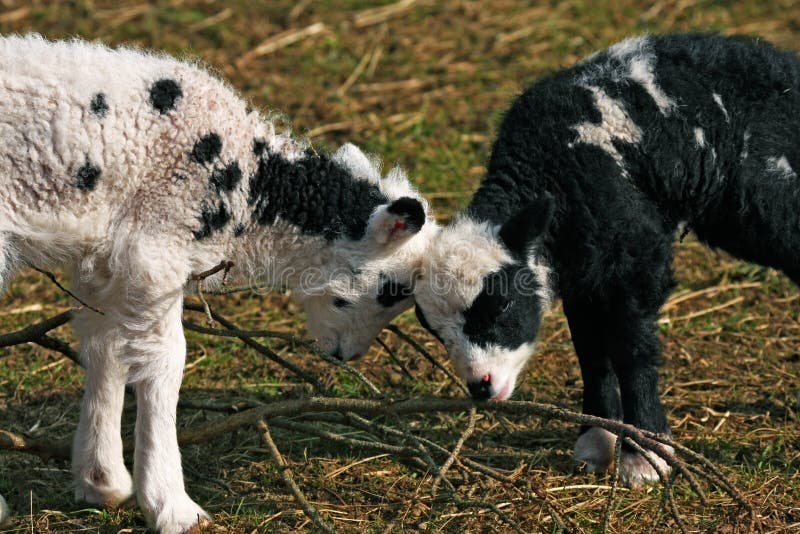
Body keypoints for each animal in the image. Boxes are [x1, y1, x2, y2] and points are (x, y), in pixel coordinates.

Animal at [0, 34, 435, 533]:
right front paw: (172, 505)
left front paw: (102, 481)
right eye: (391, 291)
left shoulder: (106, 259)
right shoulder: (157, 246)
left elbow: (104, 350)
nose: (347, 357)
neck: (250, 185)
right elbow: (165, 362)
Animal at [413, 33, 800, 487]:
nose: (481, 387)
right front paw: (596, 441)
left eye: (502, 303)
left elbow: (632, 351)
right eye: (434, 332)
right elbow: (591, 353)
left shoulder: (636, 259)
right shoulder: (583, 272)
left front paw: (645, 457)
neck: (549, 169)